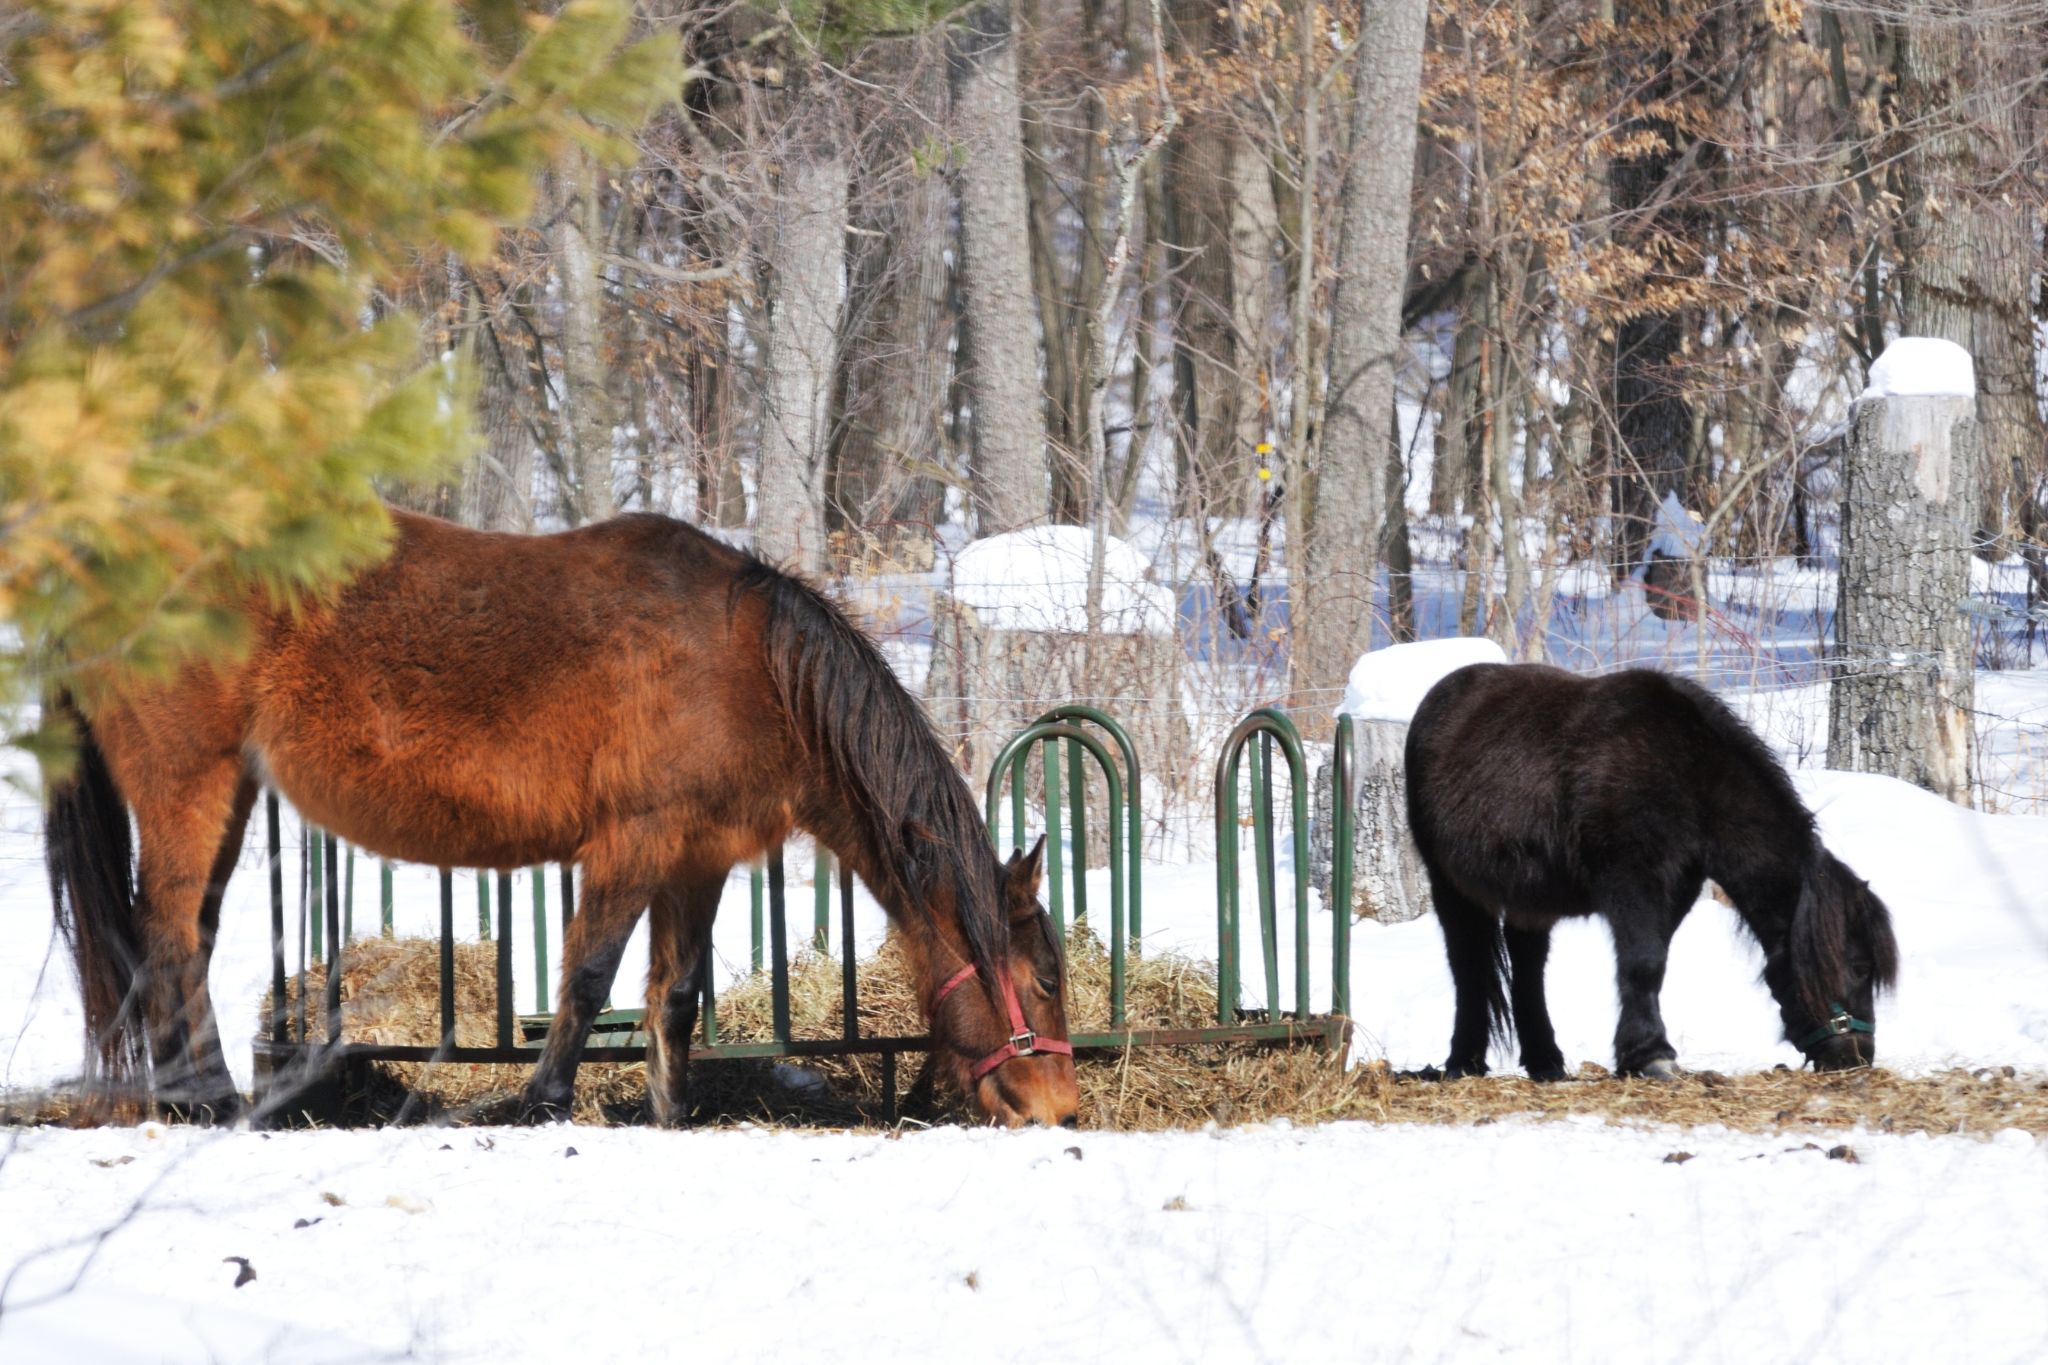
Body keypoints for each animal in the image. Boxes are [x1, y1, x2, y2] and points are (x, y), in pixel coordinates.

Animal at [43, 509, 1079, 1128]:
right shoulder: (634, 841)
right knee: (168, 937)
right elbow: (586, 978)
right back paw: (213, 1101)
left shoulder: (696, 856)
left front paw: (669, 1114)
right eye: (1044, 977)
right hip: (189, 784)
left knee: (182, 940)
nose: (1059, 1106)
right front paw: (541, 1100)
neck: (745, 664)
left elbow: (674, 995)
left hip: (226, 799)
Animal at [1403, 663, 1899, 1080]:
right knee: (1467, 962)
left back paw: (1546, 1062)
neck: (1687, 771)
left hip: (1532, 898)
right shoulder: (1634, 884)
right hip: (1451, 886)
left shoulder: (1674, 891)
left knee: (1528, 964)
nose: (1856, 1058)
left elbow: (1650, 964)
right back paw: (1464, 1061)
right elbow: (1644, 964)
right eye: (1858, 966)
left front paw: (1635, 1055)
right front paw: (1652, 1057)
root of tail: (1440, 699)